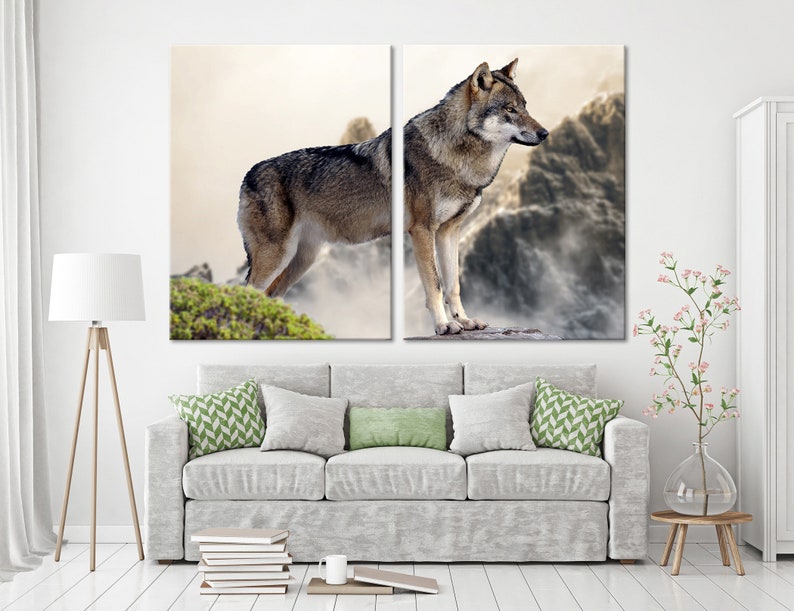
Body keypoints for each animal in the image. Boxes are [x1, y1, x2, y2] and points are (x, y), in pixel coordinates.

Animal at [238, 58, 547, 334]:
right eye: (510, 109)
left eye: (525, 106)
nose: (544, 133)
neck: (455, 157)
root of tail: (247, 175)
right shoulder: (422, 230)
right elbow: (435, 284)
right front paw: (444, 325)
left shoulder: (449, 231)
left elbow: (453, 284)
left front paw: (466, 321)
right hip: (277, 256)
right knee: (245, 292)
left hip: (301, 260)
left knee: (269, 296)